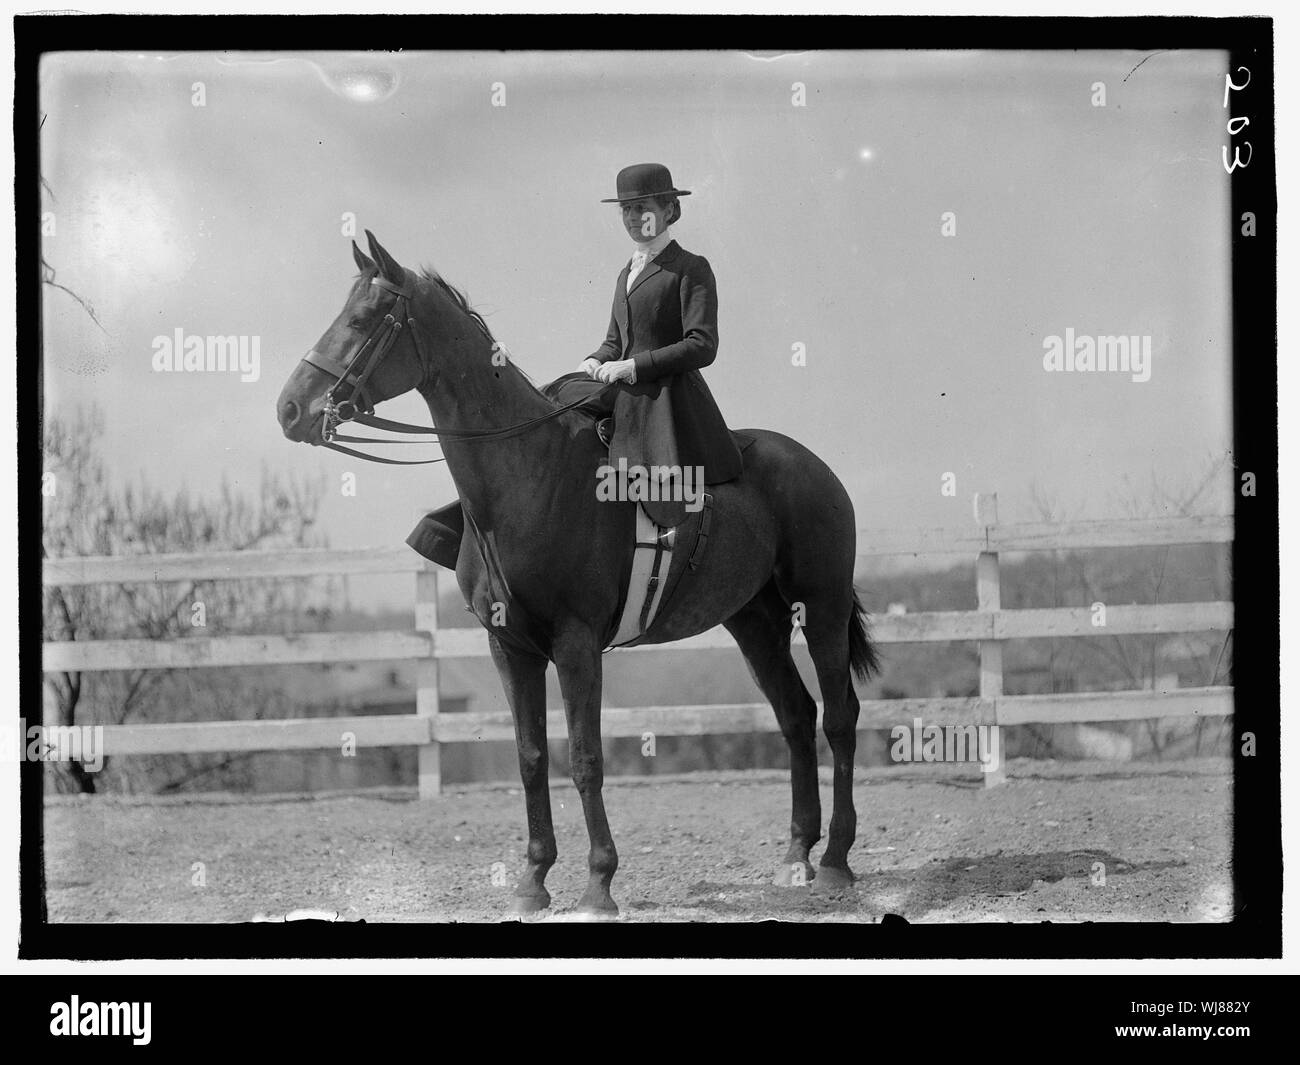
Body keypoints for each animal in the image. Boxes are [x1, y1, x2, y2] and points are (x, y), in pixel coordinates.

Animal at [277, 230, 879, 917]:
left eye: (361, 320)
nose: (290, 409)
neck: (527, 478)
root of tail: (813, 464)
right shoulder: (509, 647)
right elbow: (531, 756)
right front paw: (532, 880)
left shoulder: (576, 644)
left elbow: (586, 758)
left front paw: (598, 884)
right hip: (754, 623)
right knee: (796, 716)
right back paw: (796, 855)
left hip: (821, 608)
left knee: (838, 716)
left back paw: (834, 861)